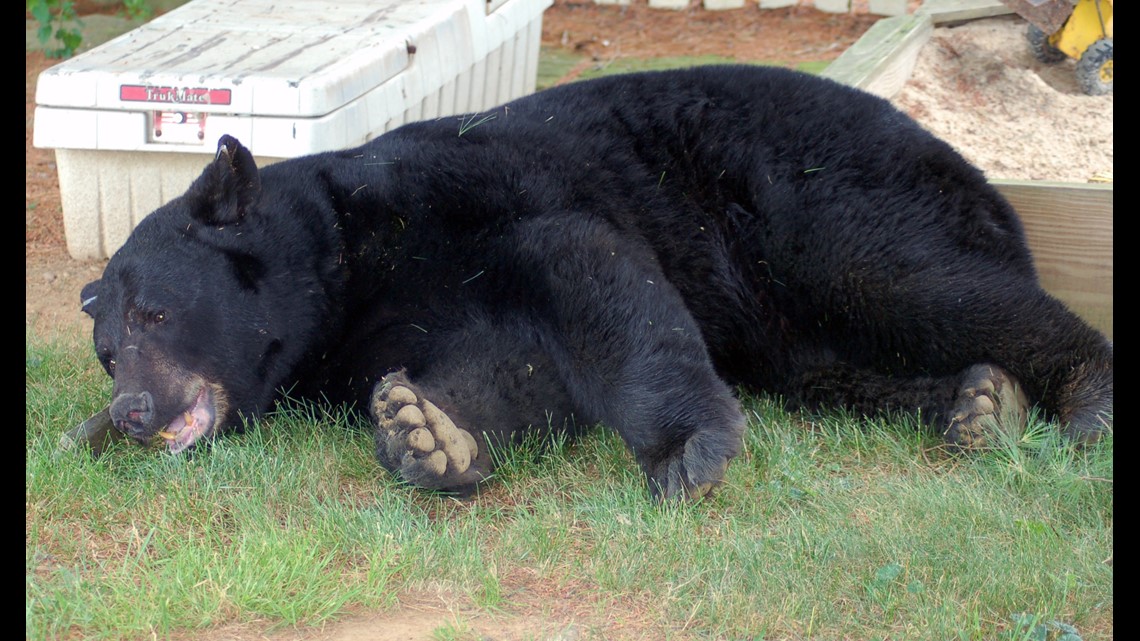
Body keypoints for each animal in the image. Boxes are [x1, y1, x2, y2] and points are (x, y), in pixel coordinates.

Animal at [76, 65, 1113, 501]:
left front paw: (689, 449)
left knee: (906, 279)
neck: (343, 268)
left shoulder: (466, 195)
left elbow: (589, 268)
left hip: (815, 202)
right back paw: (976, 403)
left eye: (159, 311)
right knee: (831, 365)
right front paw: (427, 434)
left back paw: (1083, 394)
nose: (130, 411)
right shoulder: (389, 321)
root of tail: (979, 176)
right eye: (107, 349)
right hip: (792, 323)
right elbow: (506, 369)